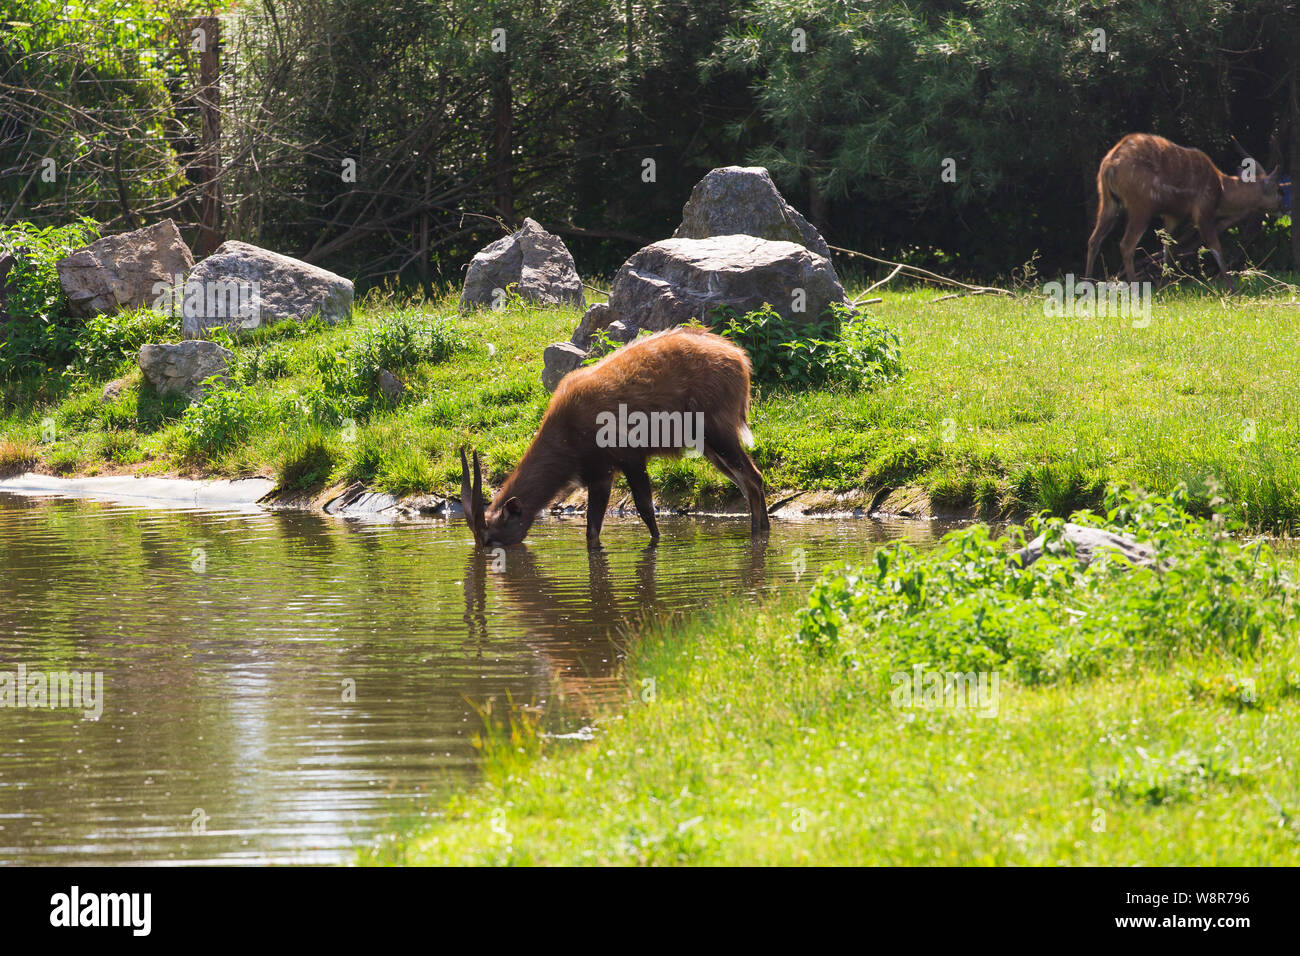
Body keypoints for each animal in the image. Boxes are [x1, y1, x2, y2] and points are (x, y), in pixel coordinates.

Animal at [459, 325, 770, 548]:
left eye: (488, 538)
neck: (567, 433)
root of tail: (740, 360)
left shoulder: (629, 457)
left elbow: (645, 509)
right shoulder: (600, 474)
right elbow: (592, 530)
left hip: (718, 433)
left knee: (754, 478)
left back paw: (759, 536)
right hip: (708, 446)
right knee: (746, 482)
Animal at [1084, 133, 1282, 291]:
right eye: (1277, 189)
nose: (1283, 207)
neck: (1221, 190)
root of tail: (1110, 165)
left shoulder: (1173, 215)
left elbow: (1167, 248)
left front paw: (1163, 286)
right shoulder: (1203, 211)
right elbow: (1215, 246)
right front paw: (1232, 288)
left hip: (1108, 202)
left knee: (1094, 239)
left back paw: (1087, 285)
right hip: (1141, 207)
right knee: (1126, 244)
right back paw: (1135, 289)